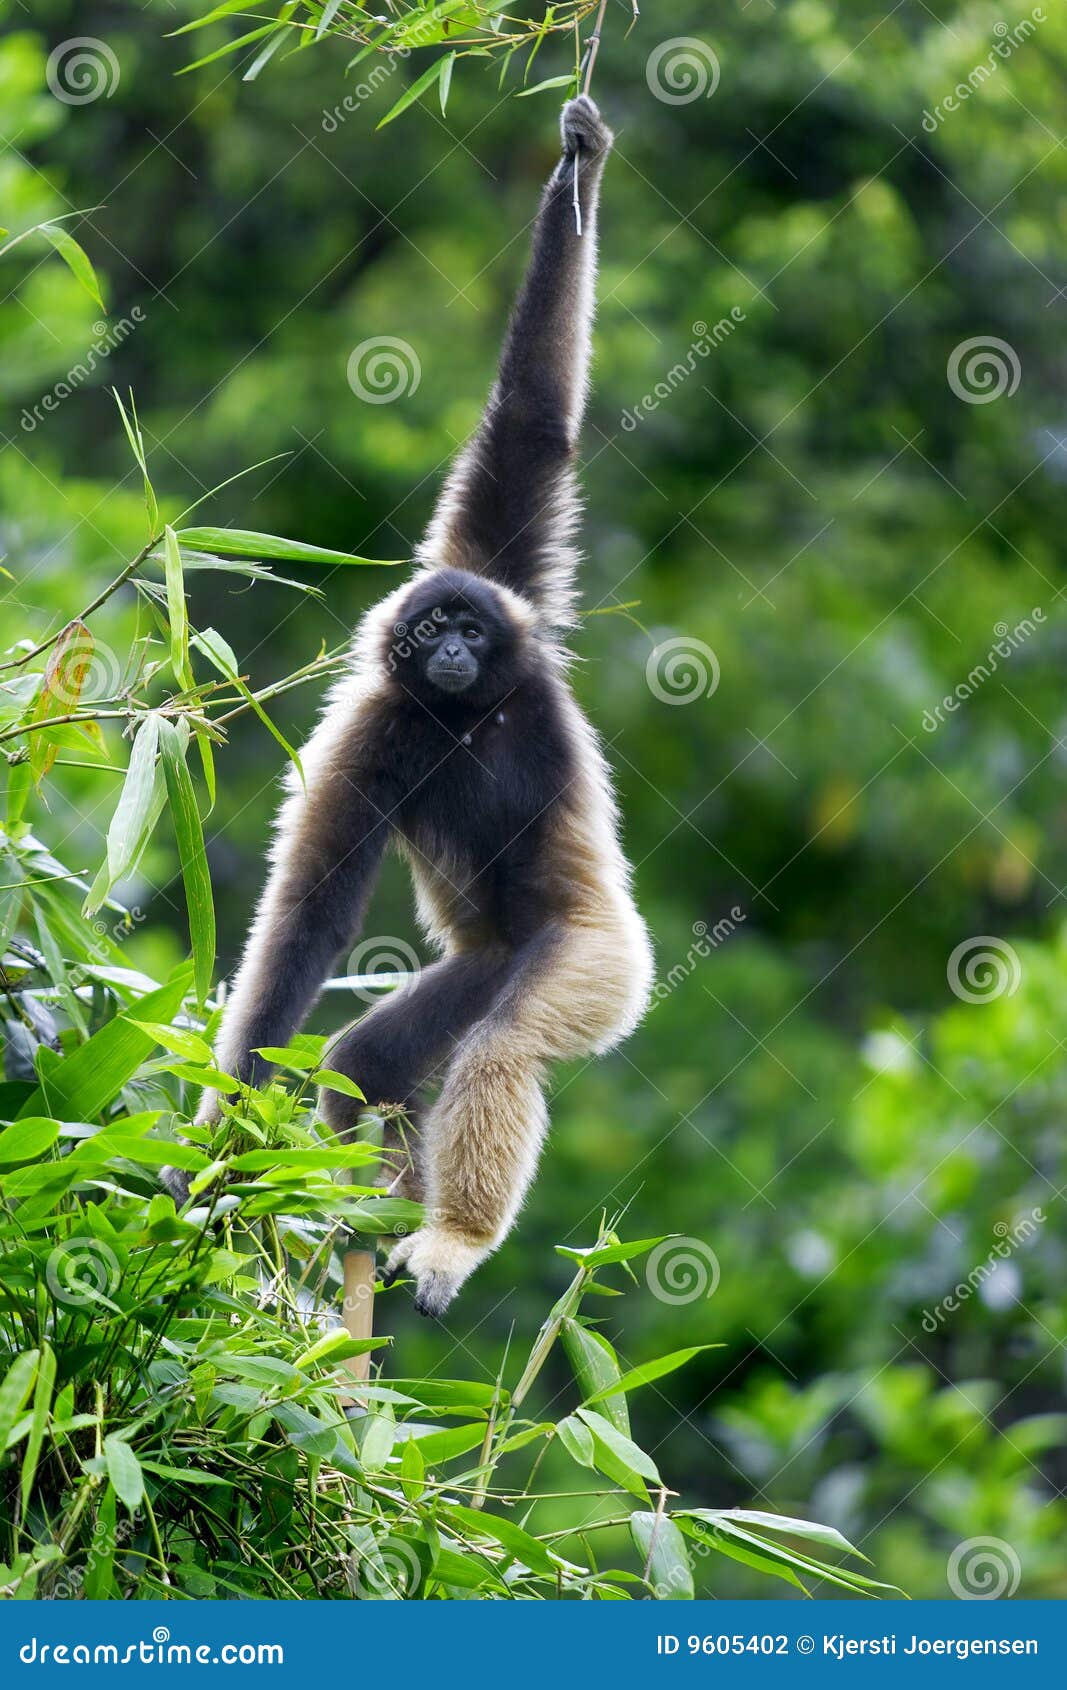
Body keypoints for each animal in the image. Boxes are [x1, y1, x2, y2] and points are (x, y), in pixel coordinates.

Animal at [164, 96, 653, 1317]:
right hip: (484, 959)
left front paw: (579, 163)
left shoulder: (517, 610)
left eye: (468, 630)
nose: (455, 650)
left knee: (502, 1048)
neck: (458, 716)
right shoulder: (371, 728)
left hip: (594, 960)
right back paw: (367, 1229)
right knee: (364, 1062)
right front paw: (221, 1153)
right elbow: (308, 922)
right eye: (431, 634)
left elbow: (531, 430)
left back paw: (447, 1242)